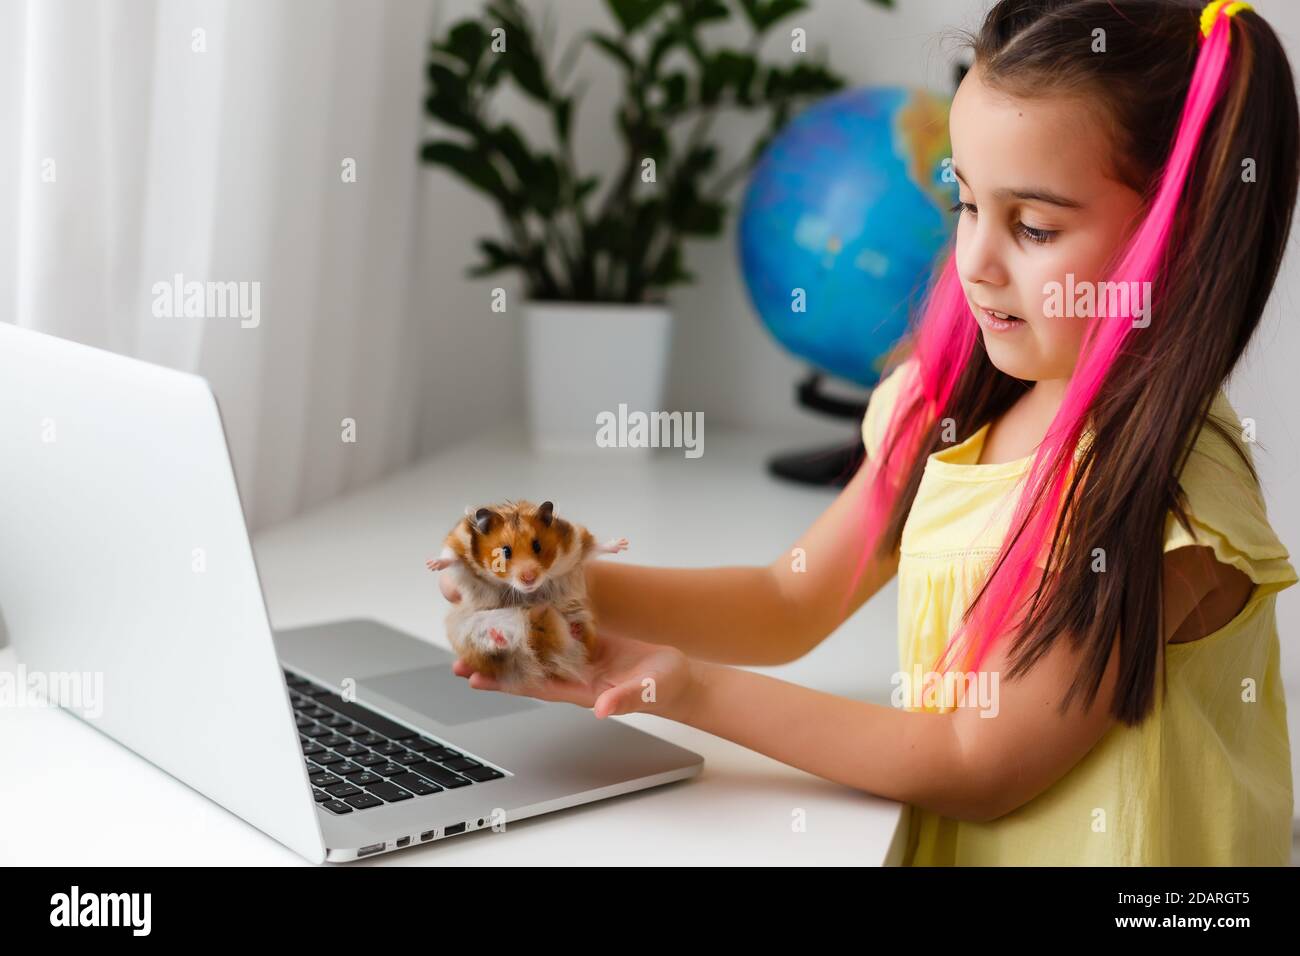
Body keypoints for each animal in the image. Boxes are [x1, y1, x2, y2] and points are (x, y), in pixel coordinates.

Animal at [425, 499, 628, 690]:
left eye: (537, 545)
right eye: (505, 551)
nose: (529, 579)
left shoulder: (576, 541)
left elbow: (594, 546)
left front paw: (622, 543)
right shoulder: (458, 540)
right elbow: (450, 556)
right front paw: (431, 565)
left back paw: (573, 628)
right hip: (468, 631)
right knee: (496, 651)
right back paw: (498, 636)